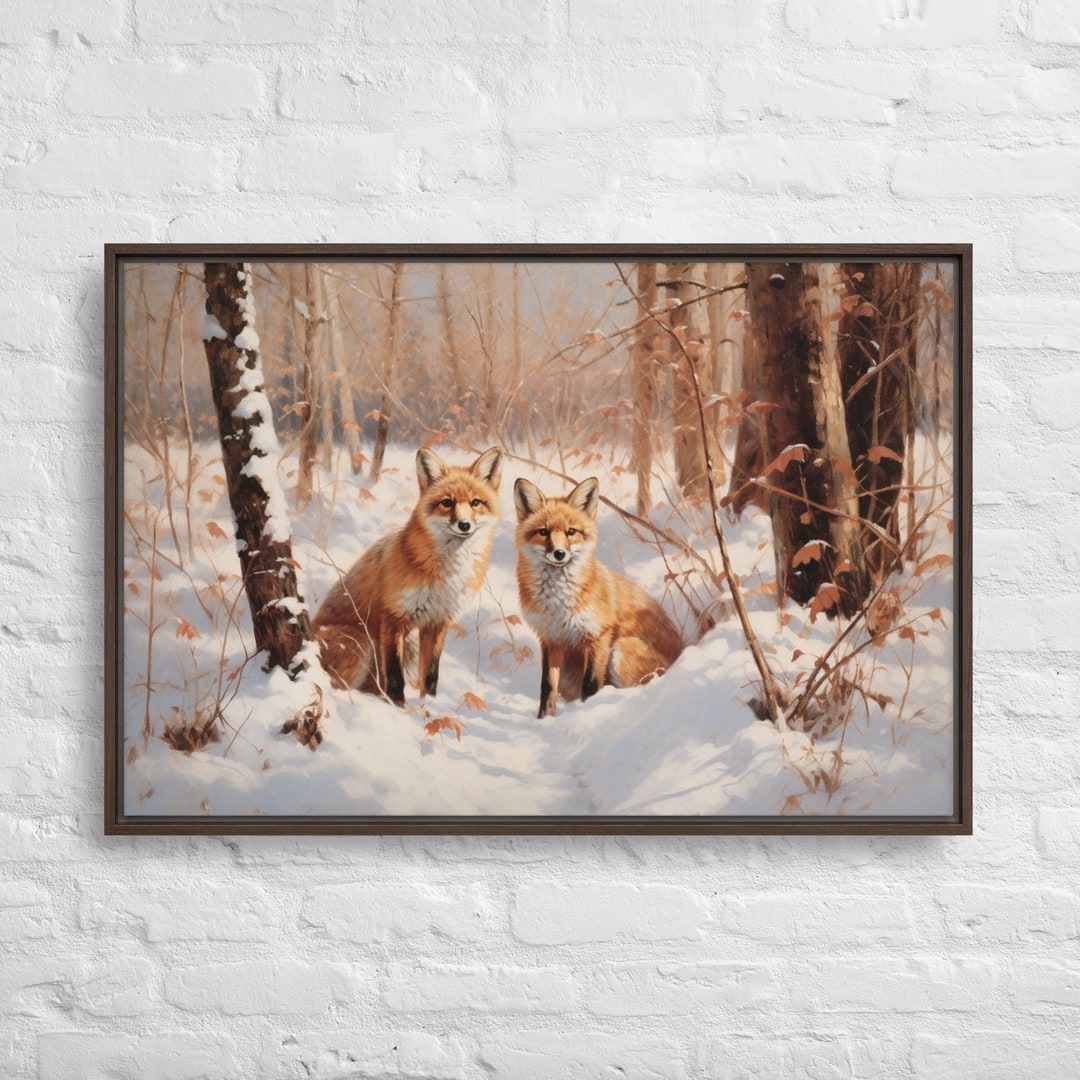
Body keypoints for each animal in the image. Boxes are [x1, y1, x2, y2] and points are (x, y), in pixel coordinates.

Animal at [312, 446, 503, 707]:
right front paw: (398, 707)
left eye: (476, 503)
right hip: (360, 639)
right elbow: (394, 675)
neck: (446, 574)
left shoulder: (437, 621)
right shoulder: (394, 618)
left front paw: (428, 705)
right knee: (337, 685)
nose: (464, 525)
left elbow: (430, 674)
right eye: (447, 503)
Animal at [513, 475, 683, 718]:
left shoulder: (598, 637)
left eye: (571, 532)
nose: (559, 553)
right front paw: (544, 719)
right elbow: (547, 687)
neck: (558, 603)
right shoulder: (551, 639)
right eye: (543, 532)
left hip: (622, 649)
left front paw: (586, 713)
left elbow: (591, 684)